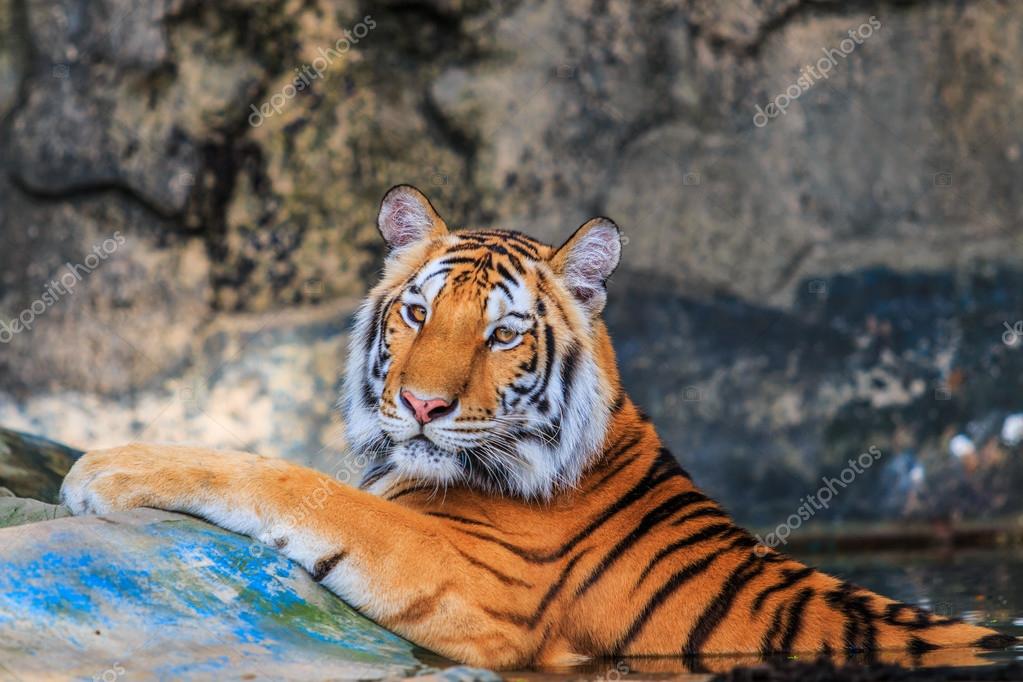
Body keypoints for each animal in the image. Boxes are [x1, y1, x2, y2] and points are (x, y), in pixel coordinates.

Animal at [61, 184, 1015, 671]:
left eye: (502, 333)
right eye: (416, 312)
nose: (422, 407)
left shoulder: (467, 578)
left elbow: (291, 481)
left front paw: (103, 467)